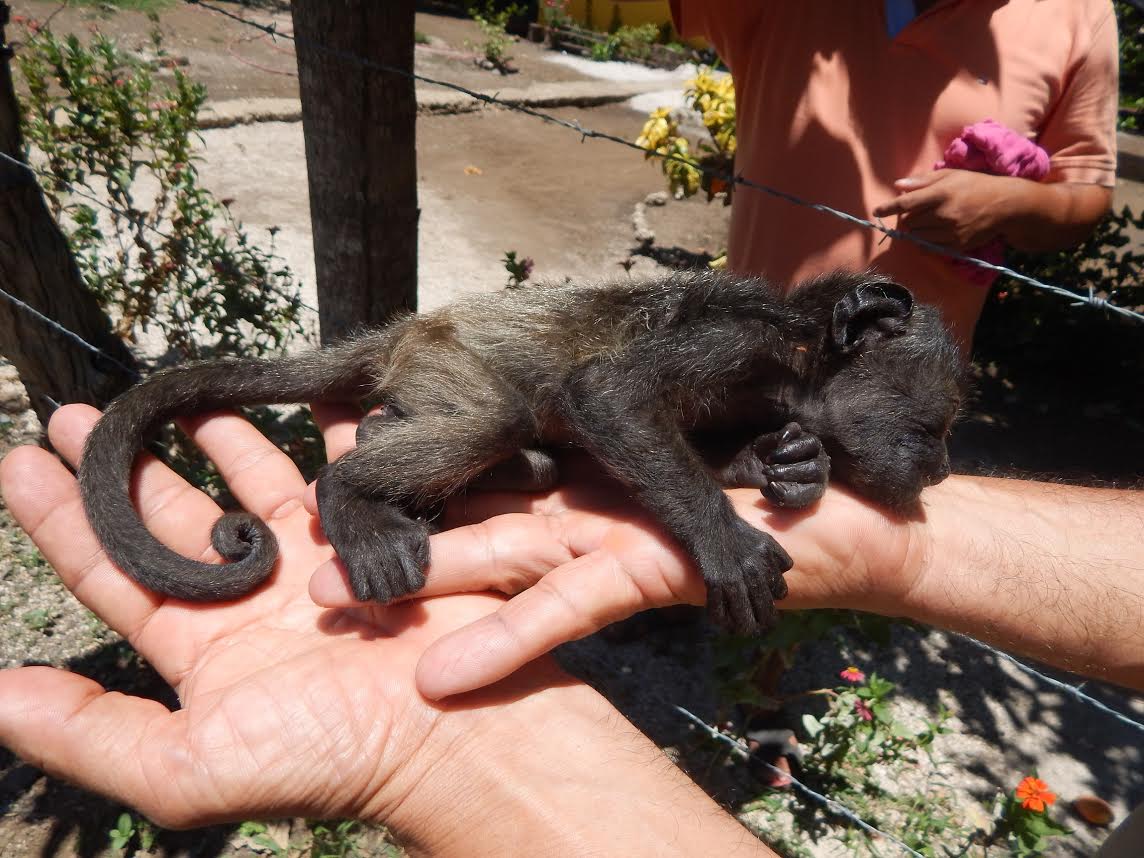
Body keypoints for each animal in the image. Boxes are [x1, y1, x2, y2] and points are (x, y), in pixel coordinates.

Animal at [78, 270, 964, 636]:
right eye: (935, 428)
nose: (942, 469)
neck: (804, 356)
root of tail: (402, 330)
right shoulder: (746, 339)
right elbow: (604, 393)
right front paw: (724, 538)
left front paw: (790, 464)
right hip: (446, 358)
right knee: (495, 418)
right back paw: (352, 493)